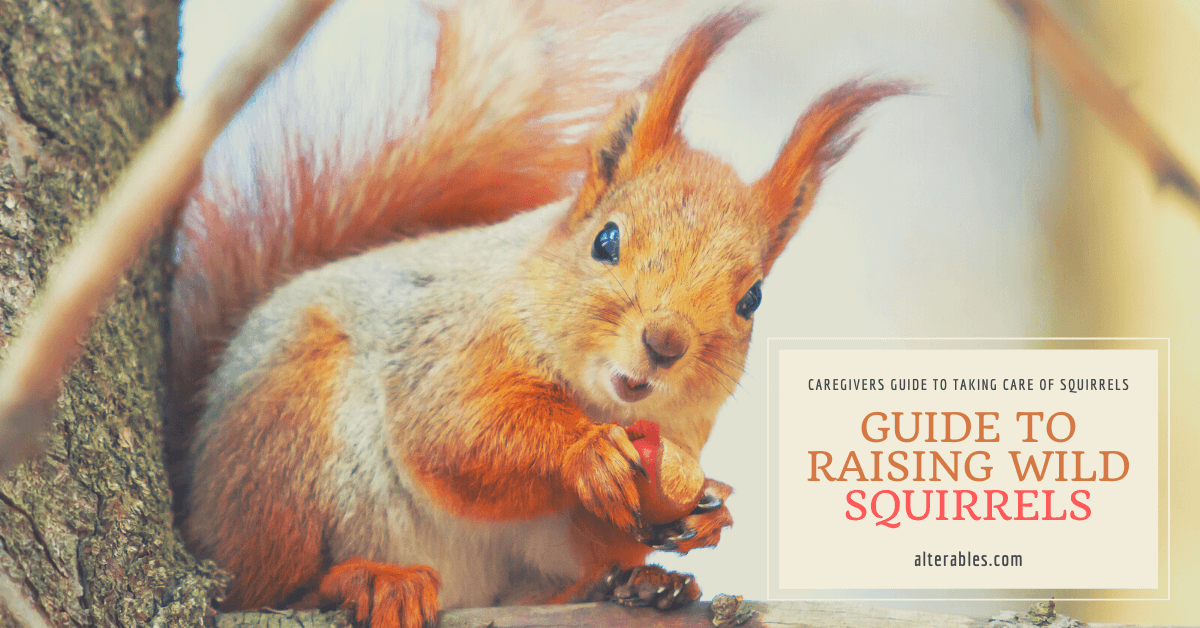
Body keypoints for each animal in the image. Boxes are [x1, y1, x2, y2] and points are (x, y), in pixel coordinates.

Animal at [166, 1, 910, 626]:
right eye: (606, 241)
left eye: (751, 298)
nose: (665, 342)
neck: (594, 397)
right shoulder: (450, 342)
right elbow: (456, 431)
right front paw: (584, 453)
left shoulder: (683, 432)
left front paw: (710, 513)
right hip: (286, 443)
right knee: (264, 585)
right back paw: (367, 581)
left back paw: (640, 586)